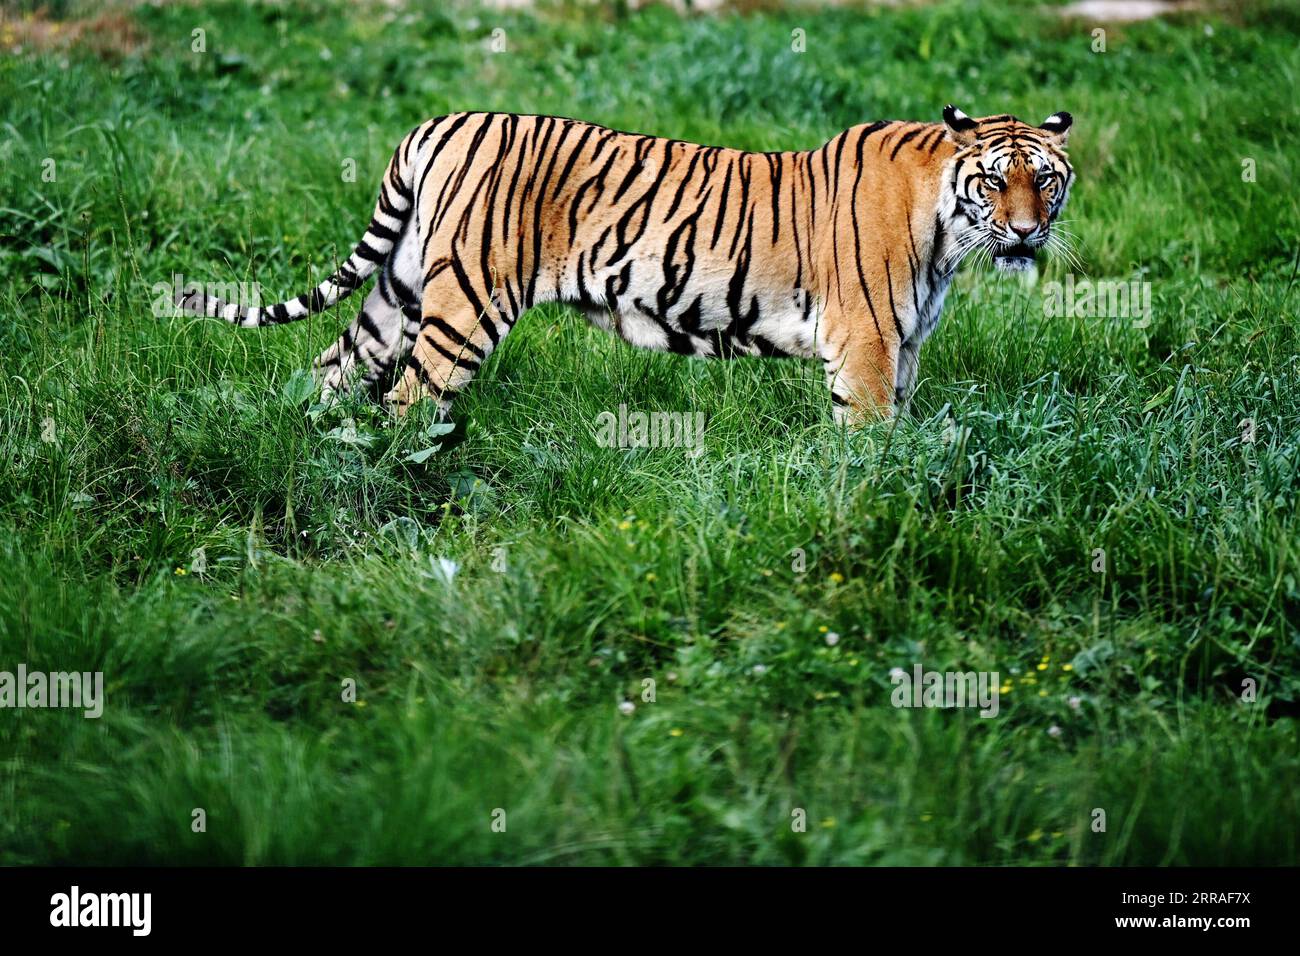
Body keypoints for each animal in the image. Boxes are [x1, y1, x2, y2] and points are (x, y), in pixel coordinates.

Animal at [178, 105, 1074, 423]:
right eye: (996, 180)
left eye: (1047, 180)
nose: (1028, 233)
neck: (948, 231)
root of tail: (440, 121)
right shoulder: (867, 345)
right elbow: (871, 436)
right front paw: (870, 499)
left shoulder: (904, 343)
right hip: (465, 302)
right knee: (408, 399)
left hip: (397, 292)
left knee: (331, 368)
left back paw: (315, 447)